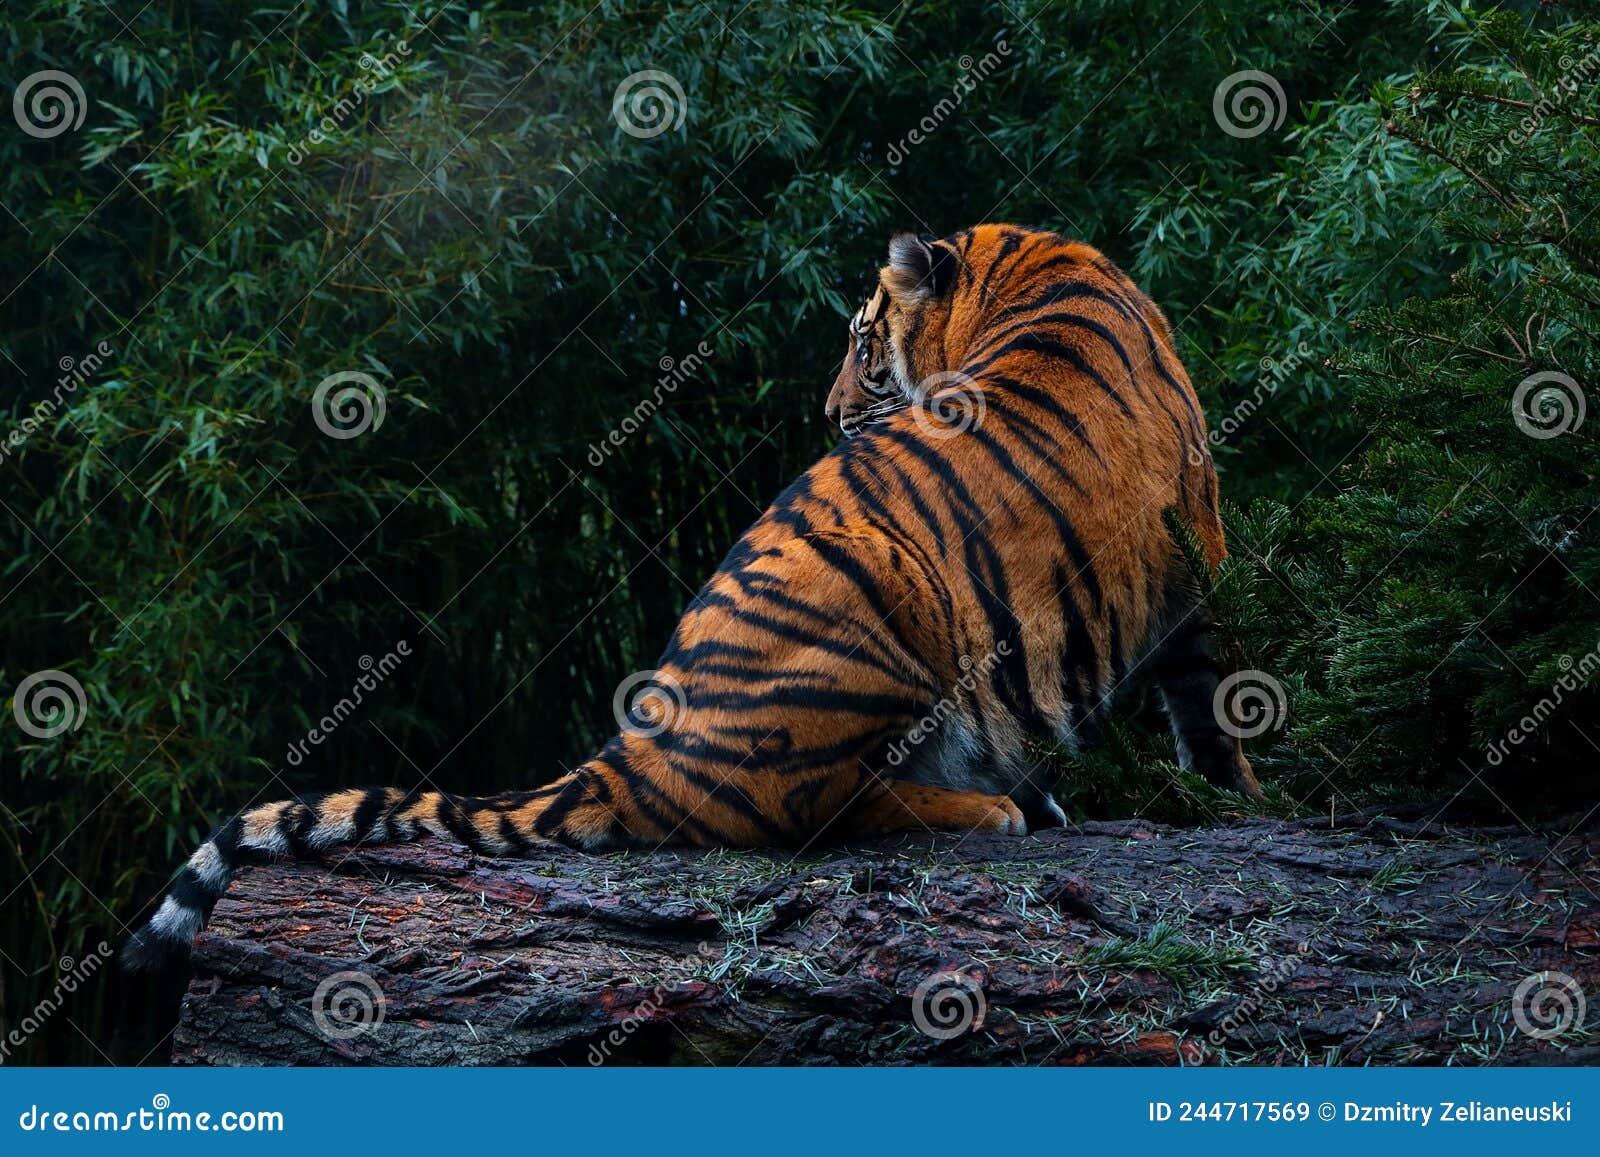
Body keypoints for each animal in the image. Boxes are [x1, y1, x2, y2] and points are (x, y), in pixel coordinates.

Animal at [122, 223, 1260, 971]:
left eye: (861, 348)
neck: (1032, 265)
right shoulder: (1196, 547)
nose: (830, 414)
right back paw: (999, 806)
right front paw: (1242, 799)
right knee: (821, 815)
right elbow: (1216, 697)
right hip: (884, 582)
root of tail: (633, 753)